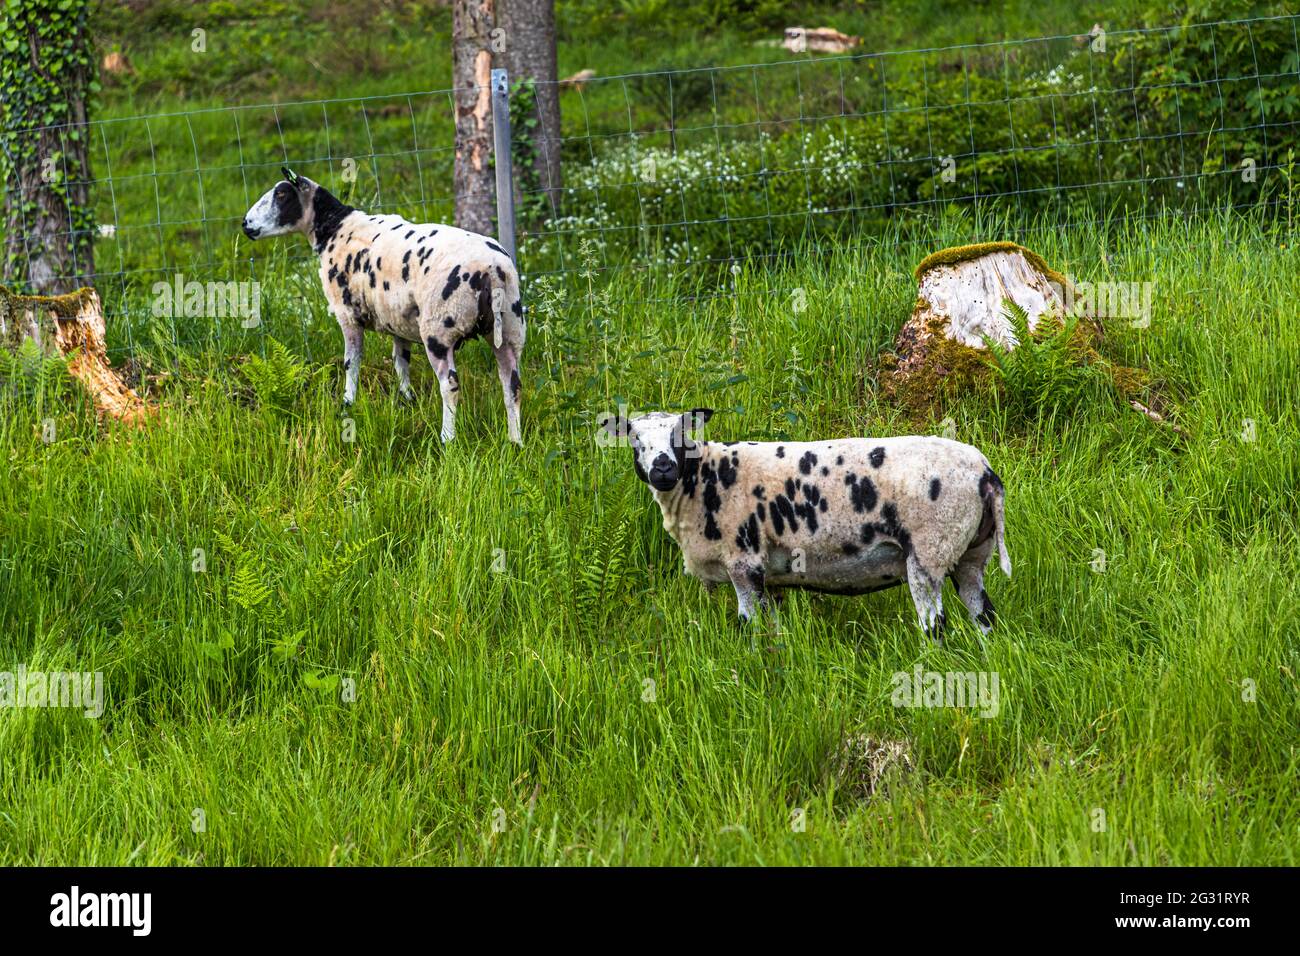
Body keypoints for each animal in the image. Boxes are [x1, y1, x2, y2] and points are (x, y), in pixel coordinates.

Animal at [241, 166, 525, 444]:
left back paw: (447, 439)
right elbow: (401, 361)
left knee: (450, 384)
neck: (334, 228)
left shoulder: (347, 314)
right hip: (510, 328)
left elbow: (351, 361)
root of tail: (492, 270)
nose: (245, 224)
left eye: (281, 195)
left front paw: (347, 403)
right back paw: (515, 441)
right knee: (512, 383)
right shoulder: (399, 319)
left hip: (439, 329)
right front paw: (407, 399)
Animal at [598, 409, 1011, 640]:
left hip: (929, 551)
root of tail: (986, 474)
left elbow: (748, 628)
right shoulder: (770, 578)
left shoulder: (744, 563)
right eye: (635, 438)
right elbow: (774, 629)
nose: (663, 469)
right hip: (971, 552)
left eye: (680, 435)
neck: (703, 479)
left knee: (935, 626)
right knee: (985, 615)